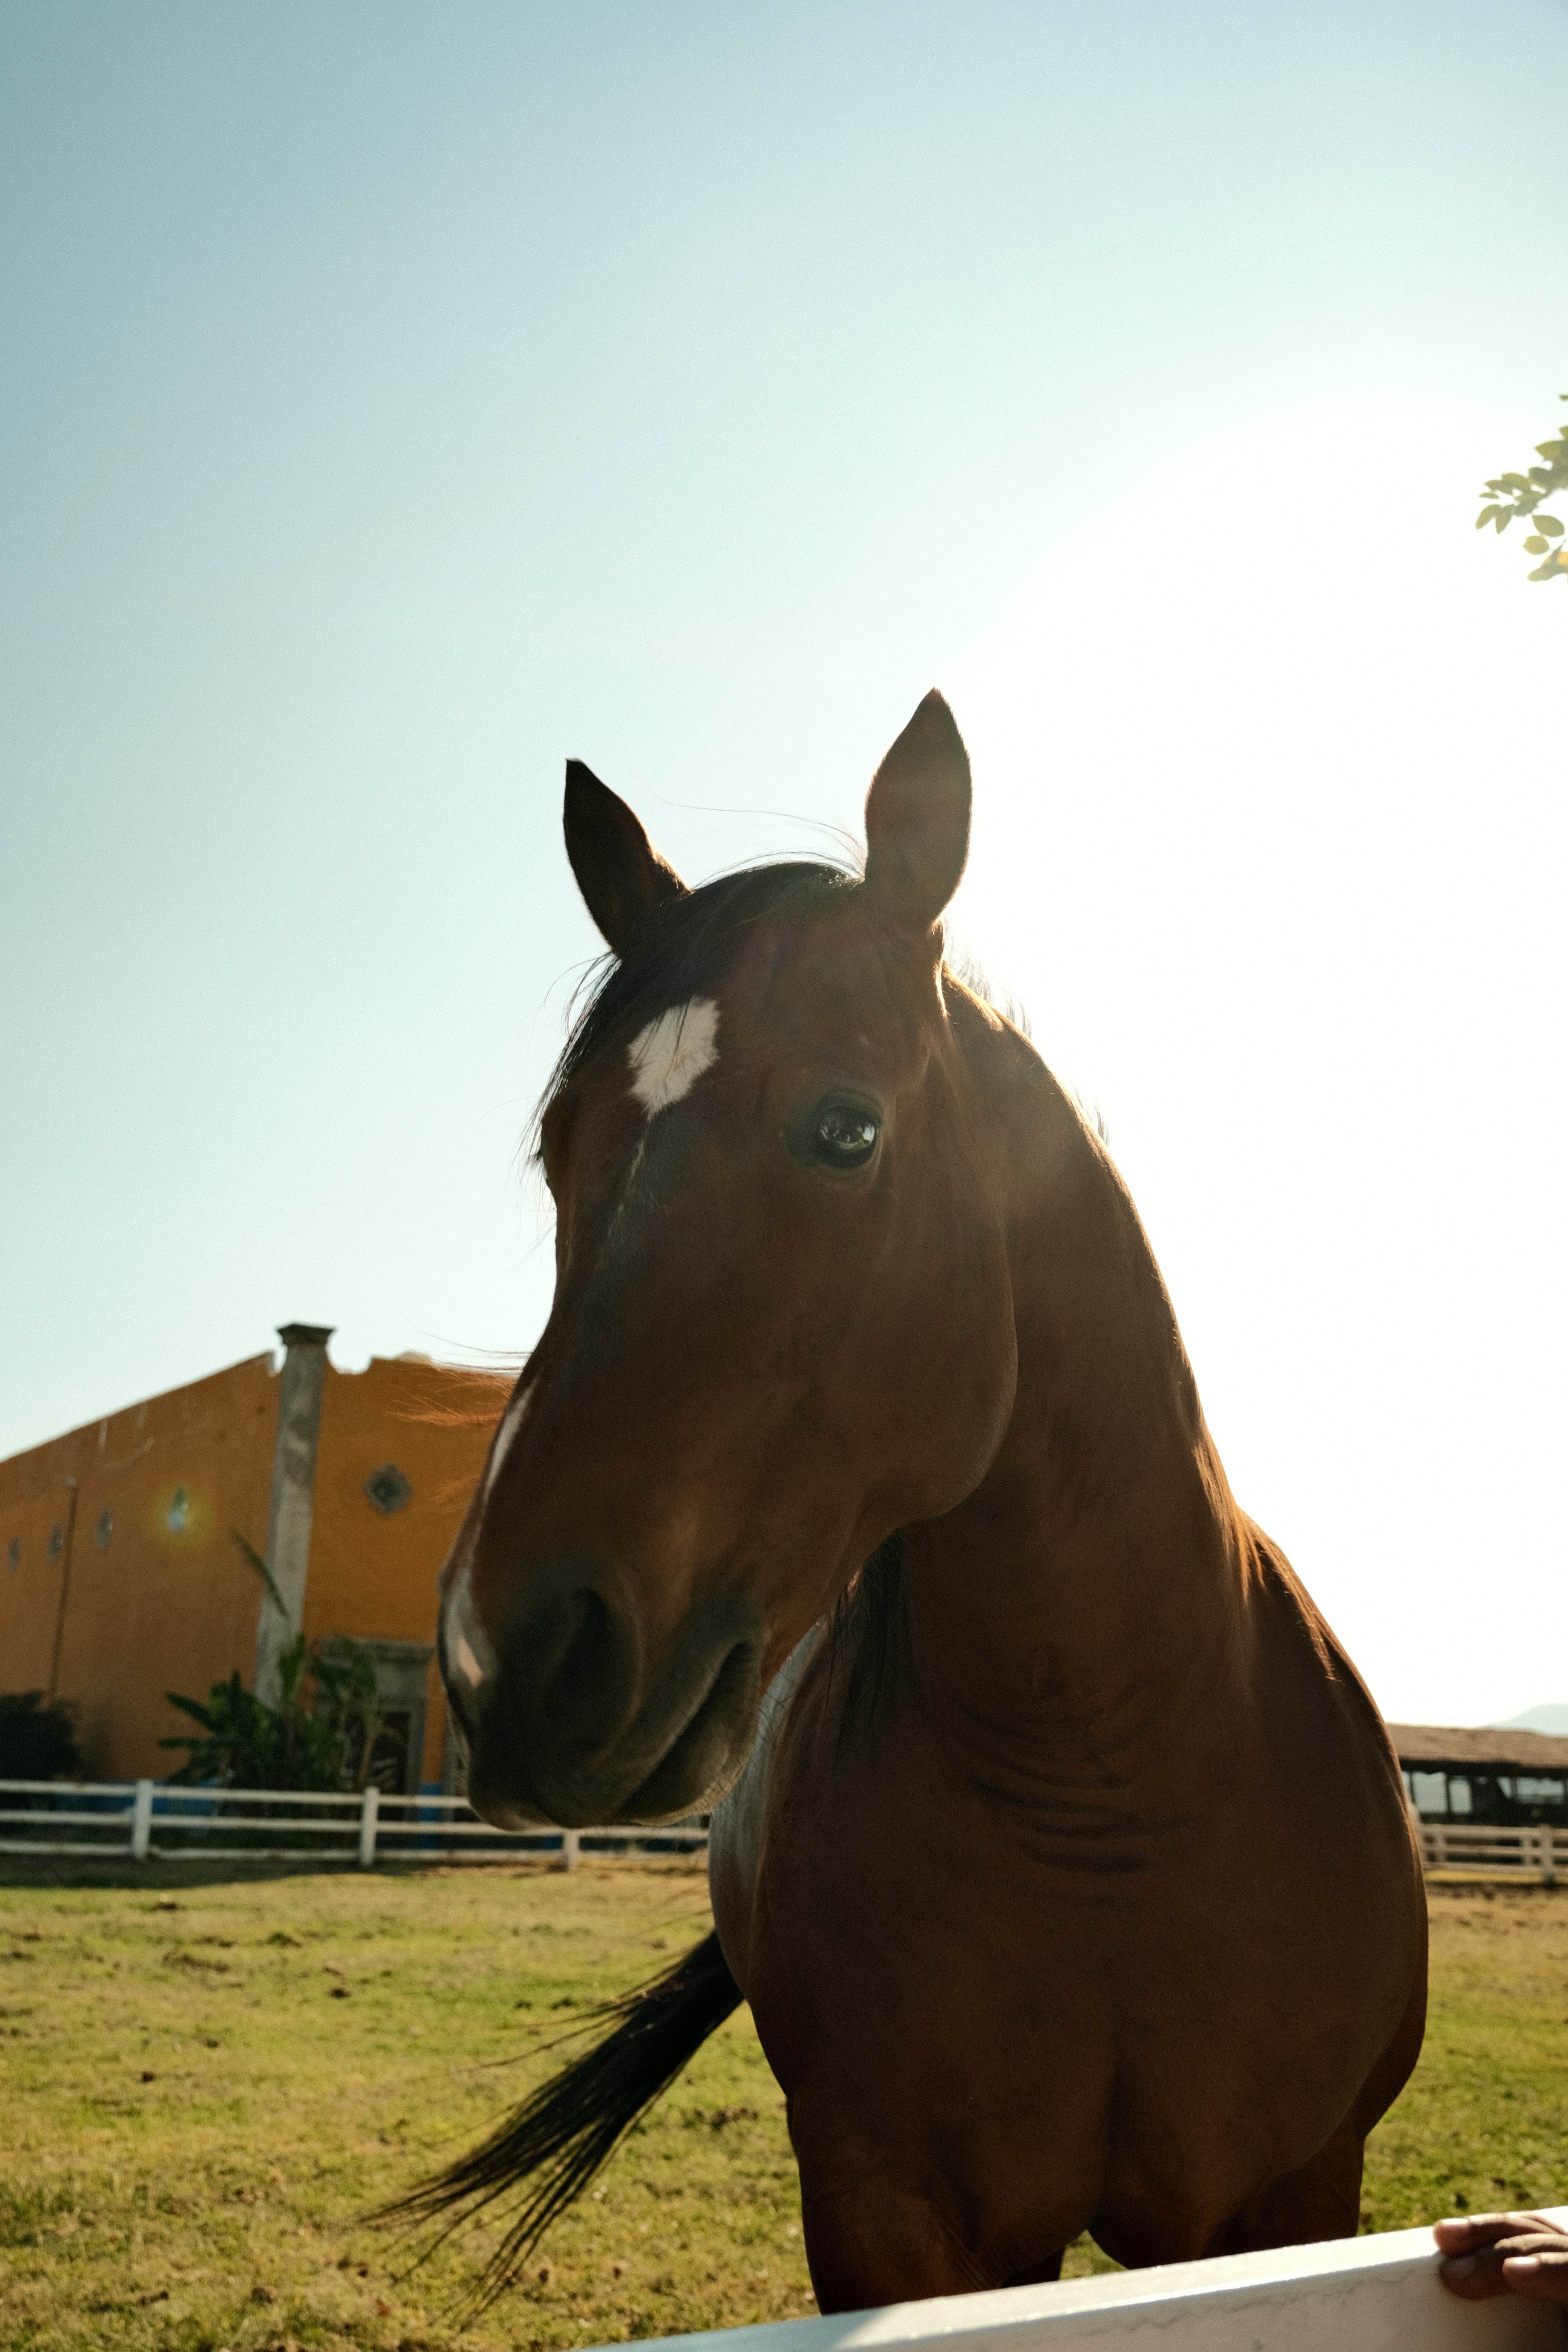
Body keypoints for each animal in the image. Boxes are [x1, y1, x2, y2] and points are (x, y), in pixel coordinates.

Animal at [411, 691, 1428, 2311]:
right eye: (557, 1149)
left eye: (846, 1130)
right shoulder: (895, 2215)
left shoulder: (1290, 2199)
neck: (1107, 1778)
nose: (508, 1663)